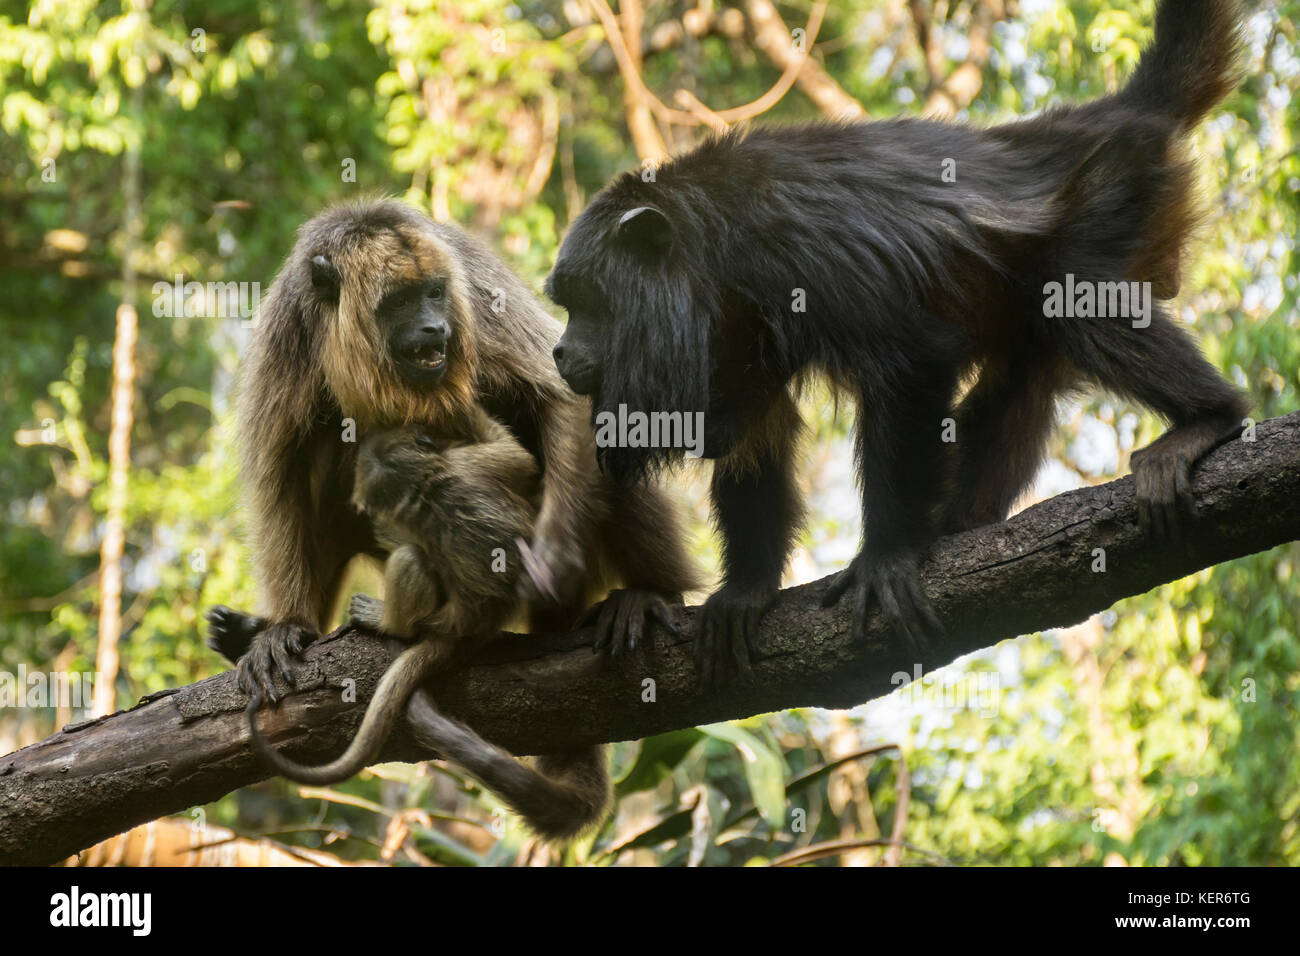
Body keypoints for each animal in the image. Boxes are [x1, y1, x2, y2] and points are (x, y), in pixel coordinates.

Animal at [206, 199, 701, 702]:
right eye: (401, 300)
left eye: (435, 292)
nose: (433, 327)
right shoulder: (287, 331)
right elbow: (279, 473)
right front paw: (283, 626)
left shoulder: (477, 298)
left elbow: (562, 394)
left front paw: (553, 553)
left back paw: (651, 592)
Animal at [245, 411, 610, 841]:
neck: (427, 480)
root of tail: (474, 621)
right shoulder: (467, 466)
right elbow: (517, 459)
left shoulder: (463, 466)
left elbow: (514, 460)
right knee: (413, 557)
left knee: (410, 557)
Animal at [546, 0, 1250, 683]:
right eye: (568, 303)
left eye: (586, 300)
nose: (559, 351)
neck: (707, 245)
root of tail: (1105, 117)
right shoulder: (732, 332)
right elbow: (754, 431)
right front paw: (746, 589)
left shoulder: (795, 248)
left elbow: (911, 362)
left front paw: (886, 556)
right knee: (1019, 375)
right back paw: (964, 523)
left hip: (1115, 192)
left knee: (1080, 304)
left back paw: (1210, 418)